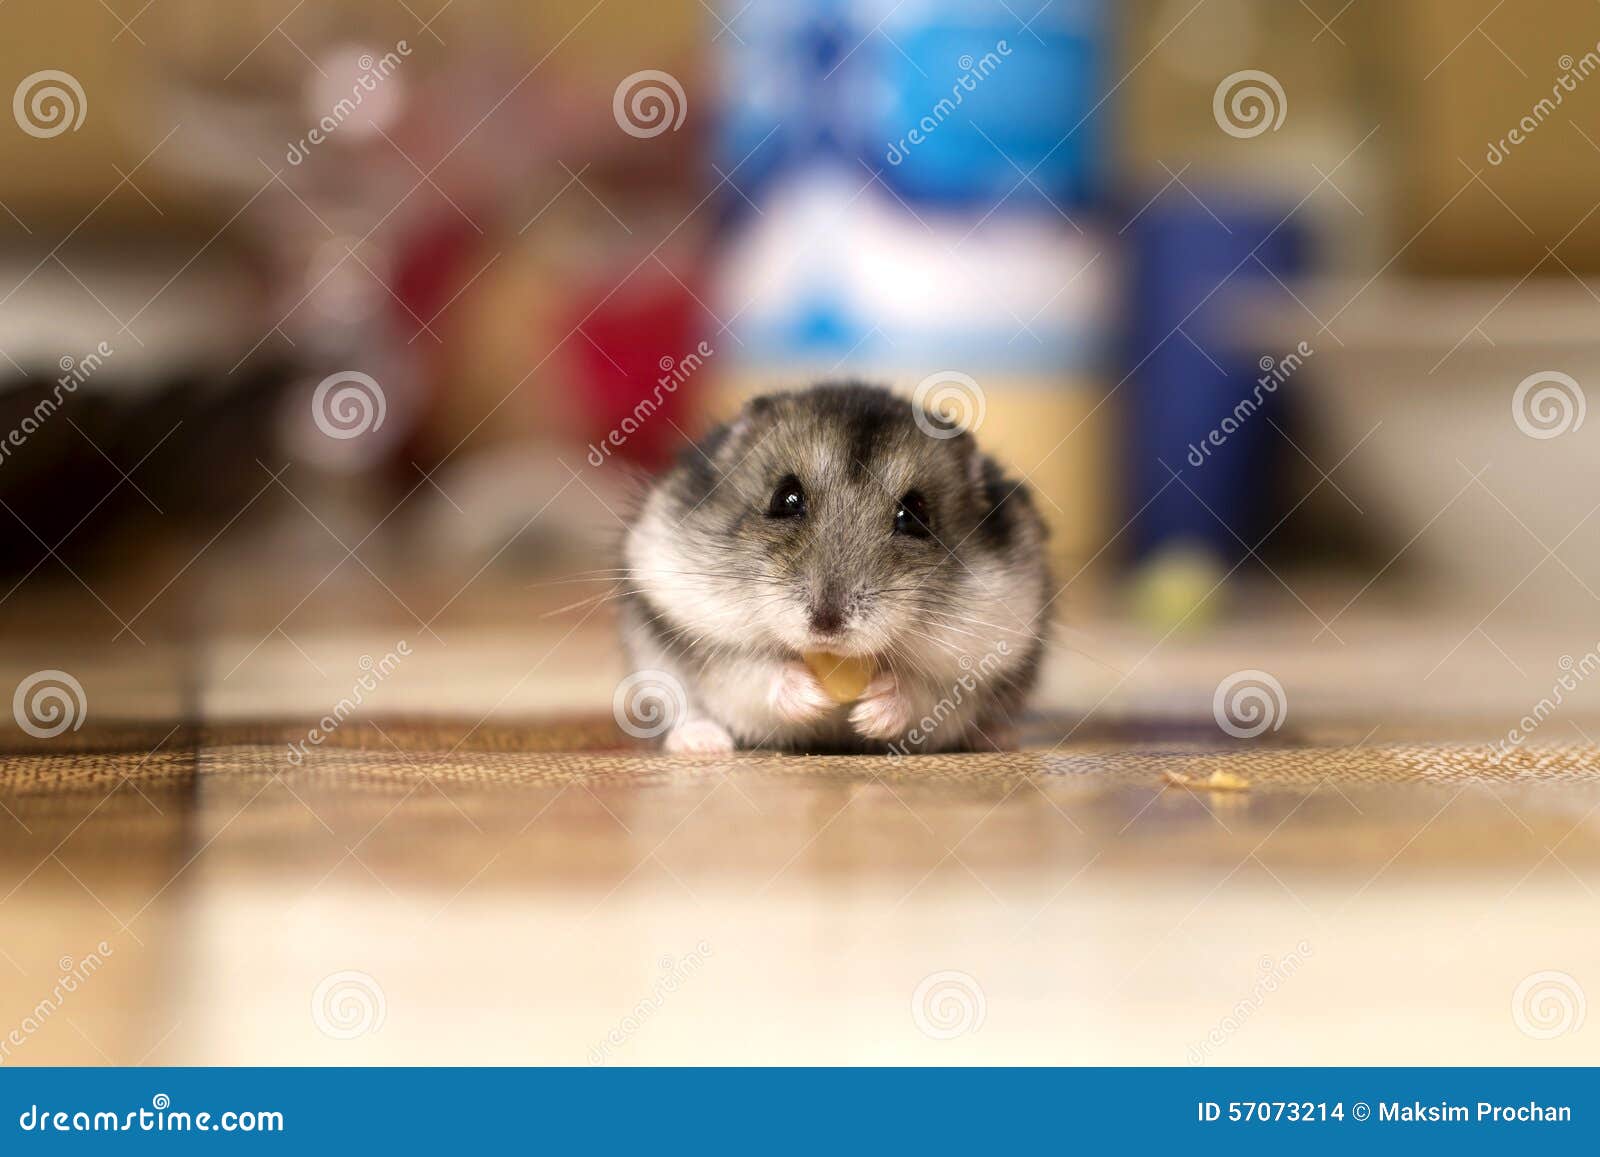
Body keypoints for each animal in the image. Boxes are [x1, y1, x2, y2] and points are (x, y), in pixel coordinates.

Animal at [618, 382, 1051, 754]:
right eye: (785, 498)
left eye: (915, 516)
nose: (826, 625)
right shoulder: (701, 634)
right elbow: (751, 672)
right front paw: (814, 698)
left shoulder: (974, 667)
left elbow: (924, 694)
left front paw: (870, 713)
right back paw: (702, 743)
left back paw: (998, 738)